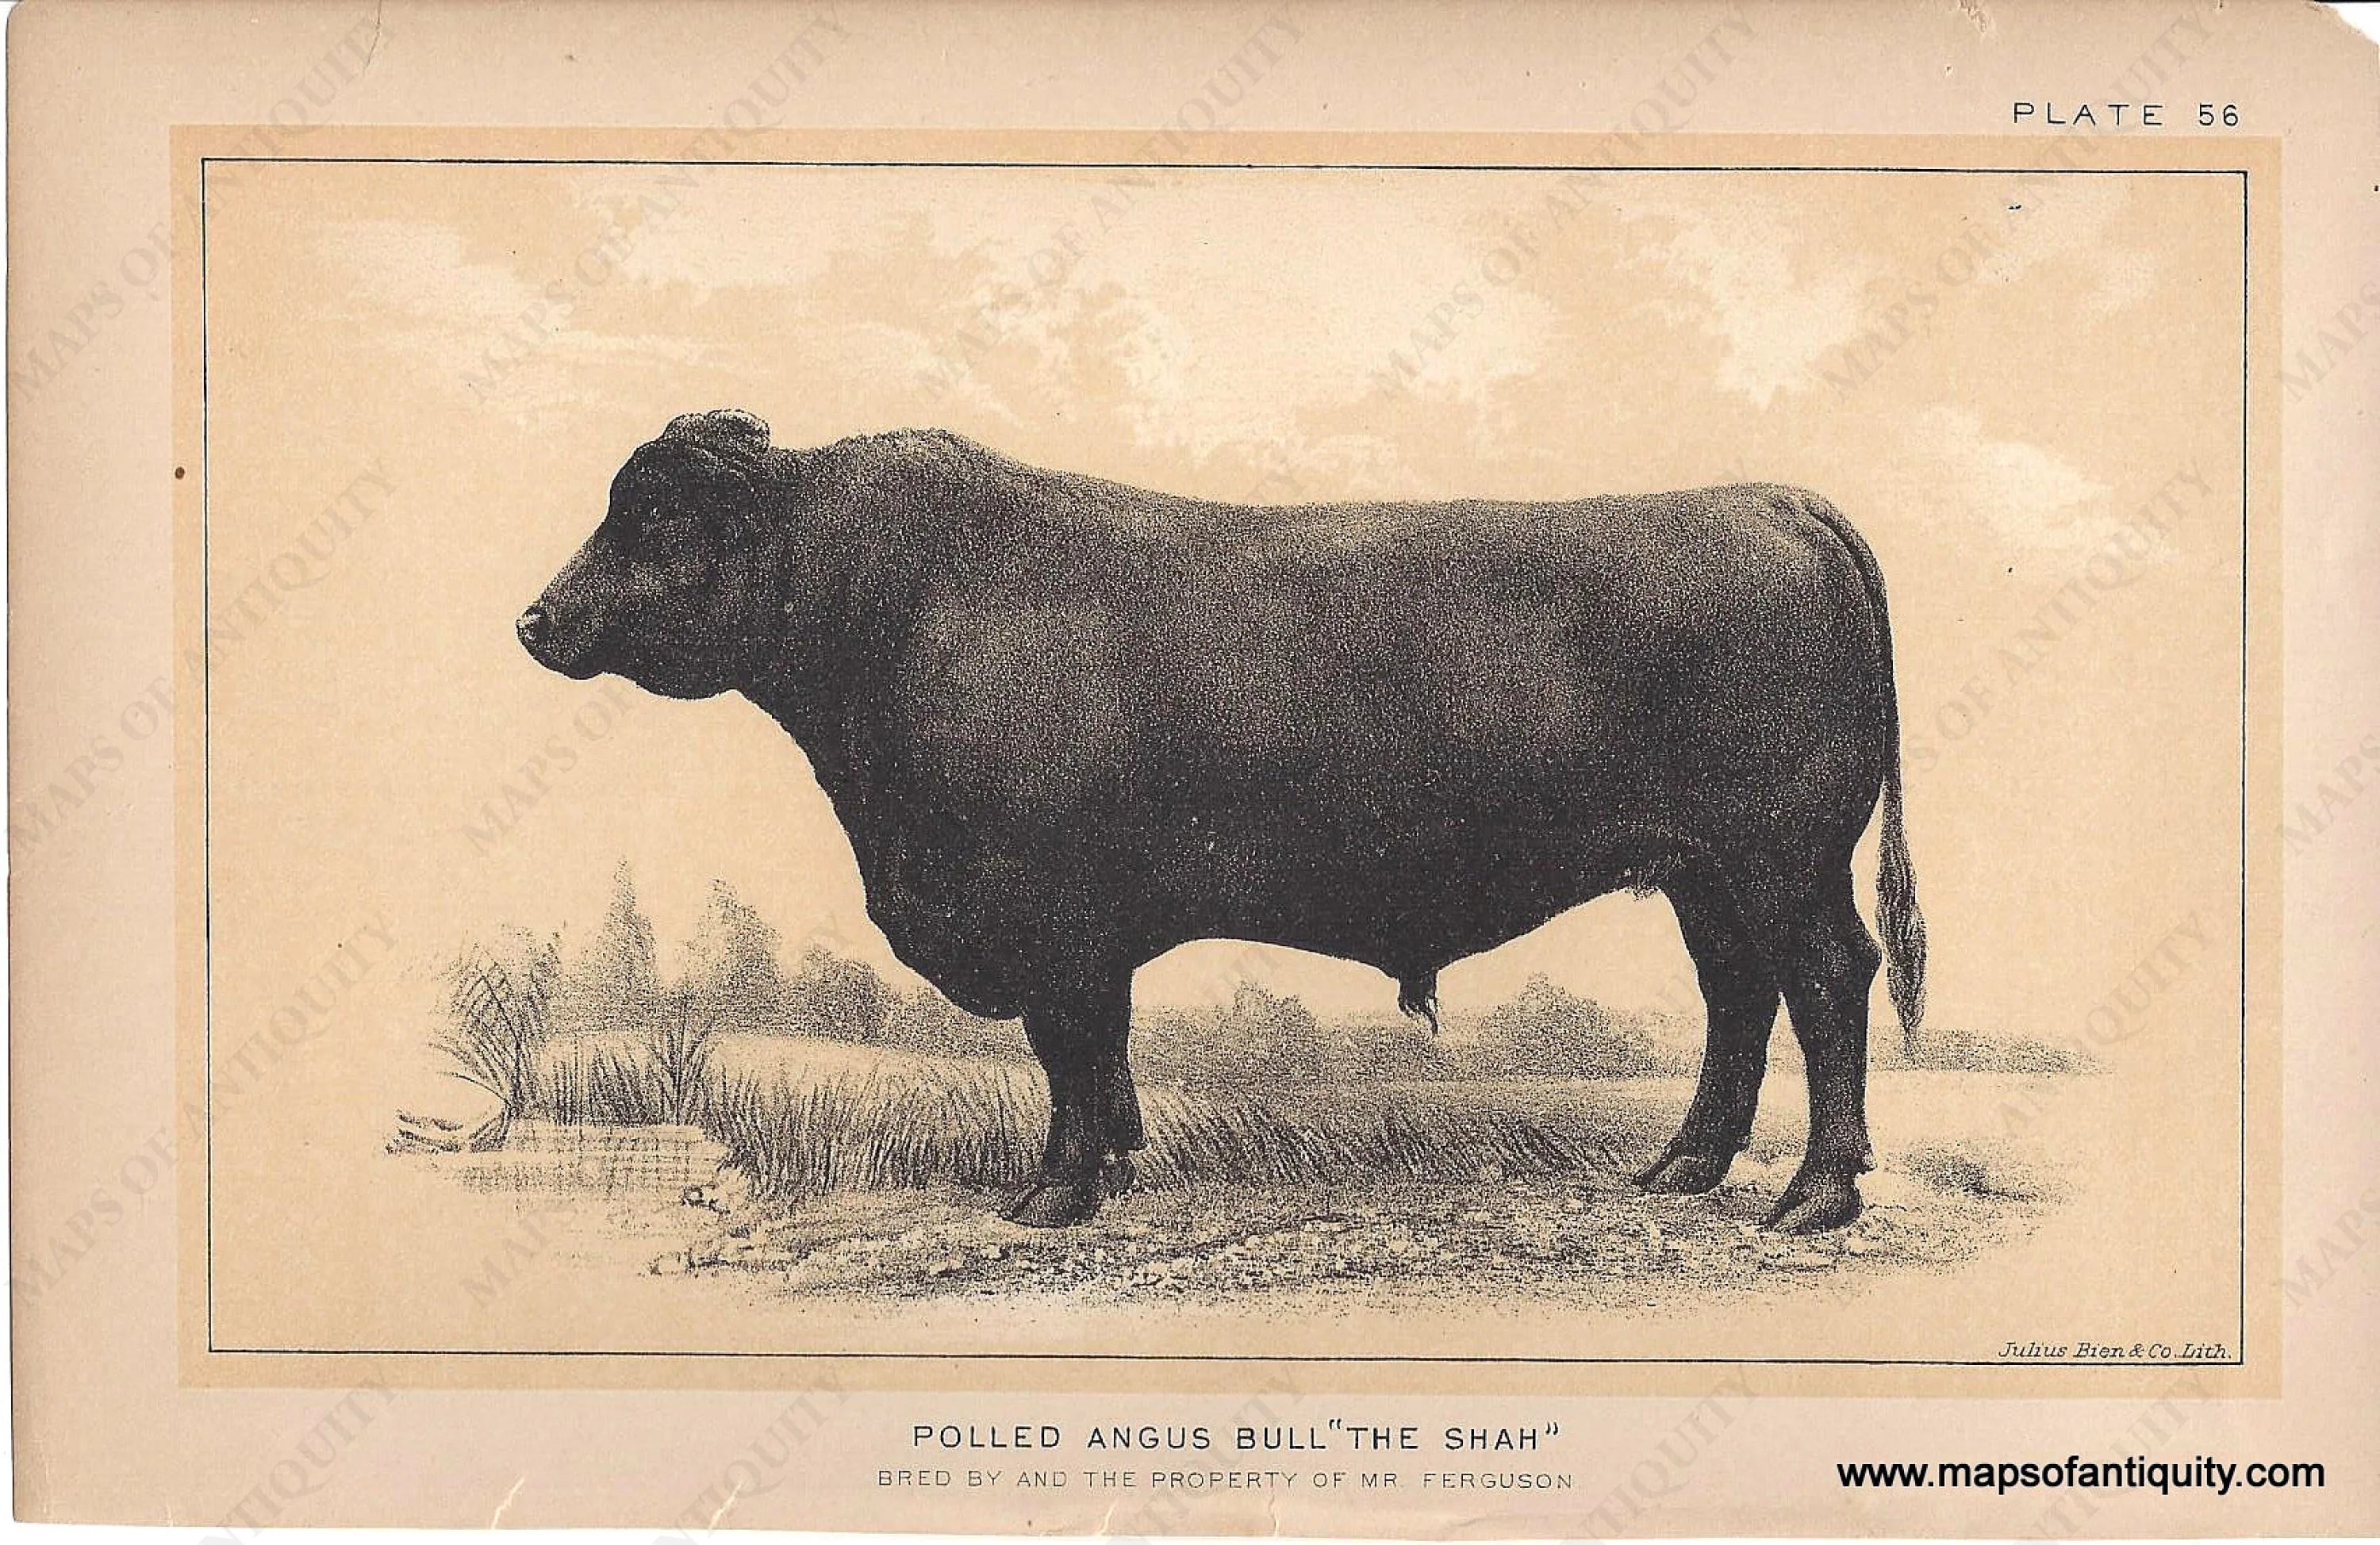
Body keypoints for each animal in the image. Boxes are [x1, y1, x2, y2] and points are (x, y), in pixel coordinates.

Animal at [518, 409, 1928, 1234]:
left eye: (655, 513)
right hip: (1704, 874)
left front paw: (1051, 1196)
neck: (892, 602)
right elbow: (1094, 1056)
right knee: (1739, 994)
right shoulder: (1076, 933)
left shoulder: (1054, 917)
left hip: (1782, 862)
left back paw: (1813, 1198)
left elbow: (1072, 1052)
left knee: (1824, 982)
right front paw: (1107, 1171)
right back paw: (1683, 1172)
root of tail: (1771, 499)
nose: (536, 618)